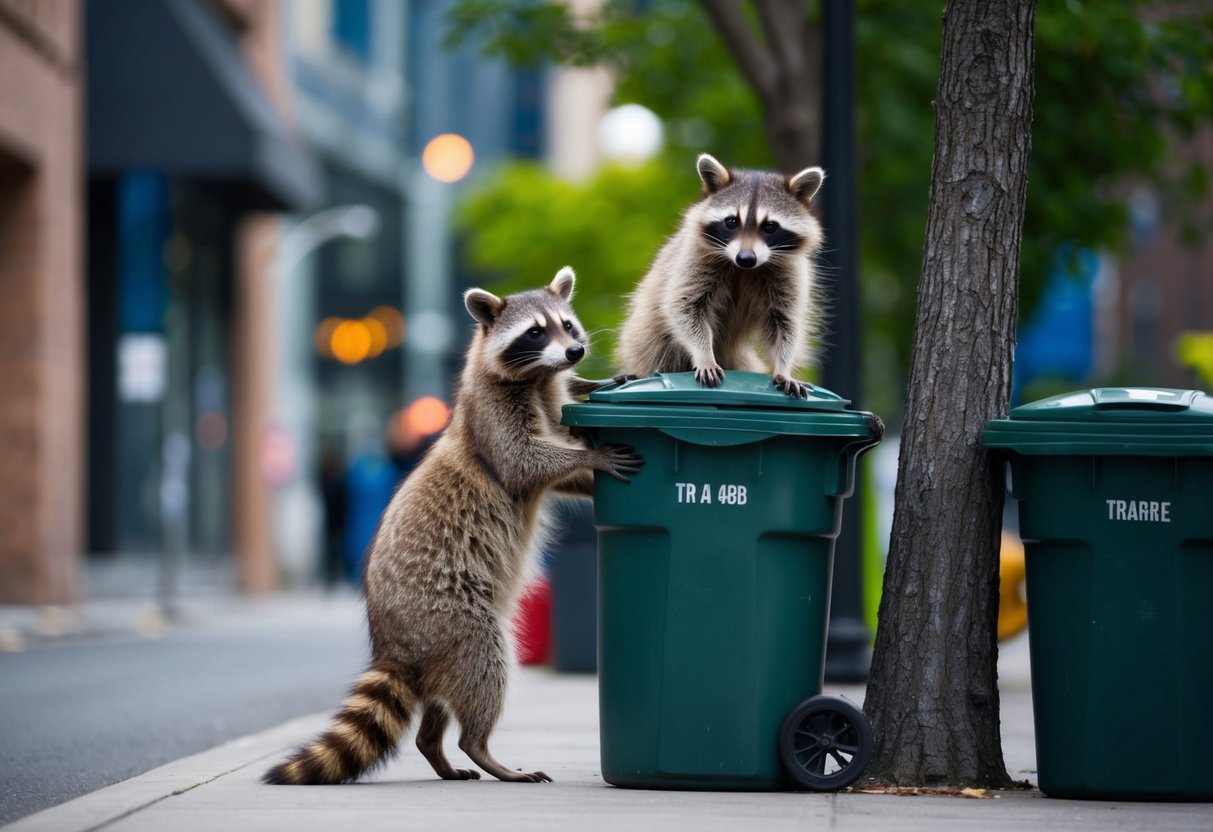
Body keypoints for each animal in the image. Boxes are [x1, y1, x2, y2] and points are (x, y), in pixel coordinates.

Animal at [264, 267, 642, 786]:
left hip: (441, 643)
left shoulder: (548, 398)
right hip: (448, 617)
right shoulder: (493, 416)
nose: (575, 352)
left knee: (446, 699)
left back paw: (437, 748)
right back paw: (479, 747)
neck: (538, 378)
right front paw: (592, 456)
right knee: (486, 663)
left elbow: (557, 473)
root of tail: (393, 643)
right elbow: (525, 463)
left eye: (567, 324)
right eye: (536, 332)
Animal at [617, 153, 825, 398]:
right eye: (732, 221)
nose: (746, 258)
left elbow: (785, 323)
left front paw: (783, 368)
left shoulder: (787, 271)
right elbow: (684, 307)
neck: (744, 269)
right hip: (647, 340)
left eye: (770, 227)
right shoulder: (694, 257)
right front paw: (704, 355)